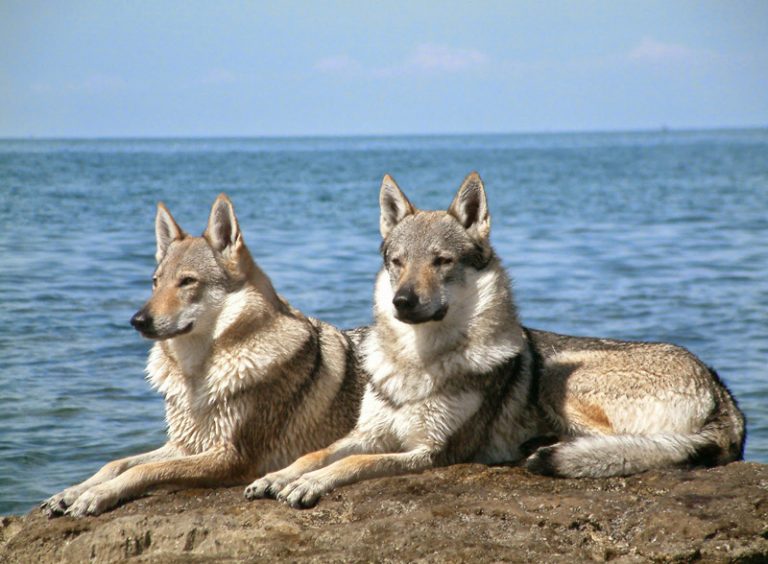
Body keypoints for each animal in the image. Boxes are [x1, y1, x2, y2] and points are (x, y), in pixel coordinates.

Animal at [41, 194, 366, 517]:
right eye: (155, 282)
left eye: (187, 281)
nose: (137, 320)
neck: (197, 375)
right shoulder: (186, 444)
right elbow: (116, 463)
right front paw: (71, 492)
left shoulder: (230, 456)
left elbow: (142, 470)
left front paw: (96, 495)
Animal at [244, 172, 746, 508]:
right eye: (397, 262)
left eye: (442, 261)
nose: (402, 301)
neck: (419, 362)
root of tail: (723, 392)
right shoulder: (369, 432)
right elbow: (318, 452)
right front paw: (278, 476)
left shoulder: (430, 452)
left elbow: (352, 465)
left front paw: (307, 484)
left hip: (560, 380)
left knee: (643, 447)